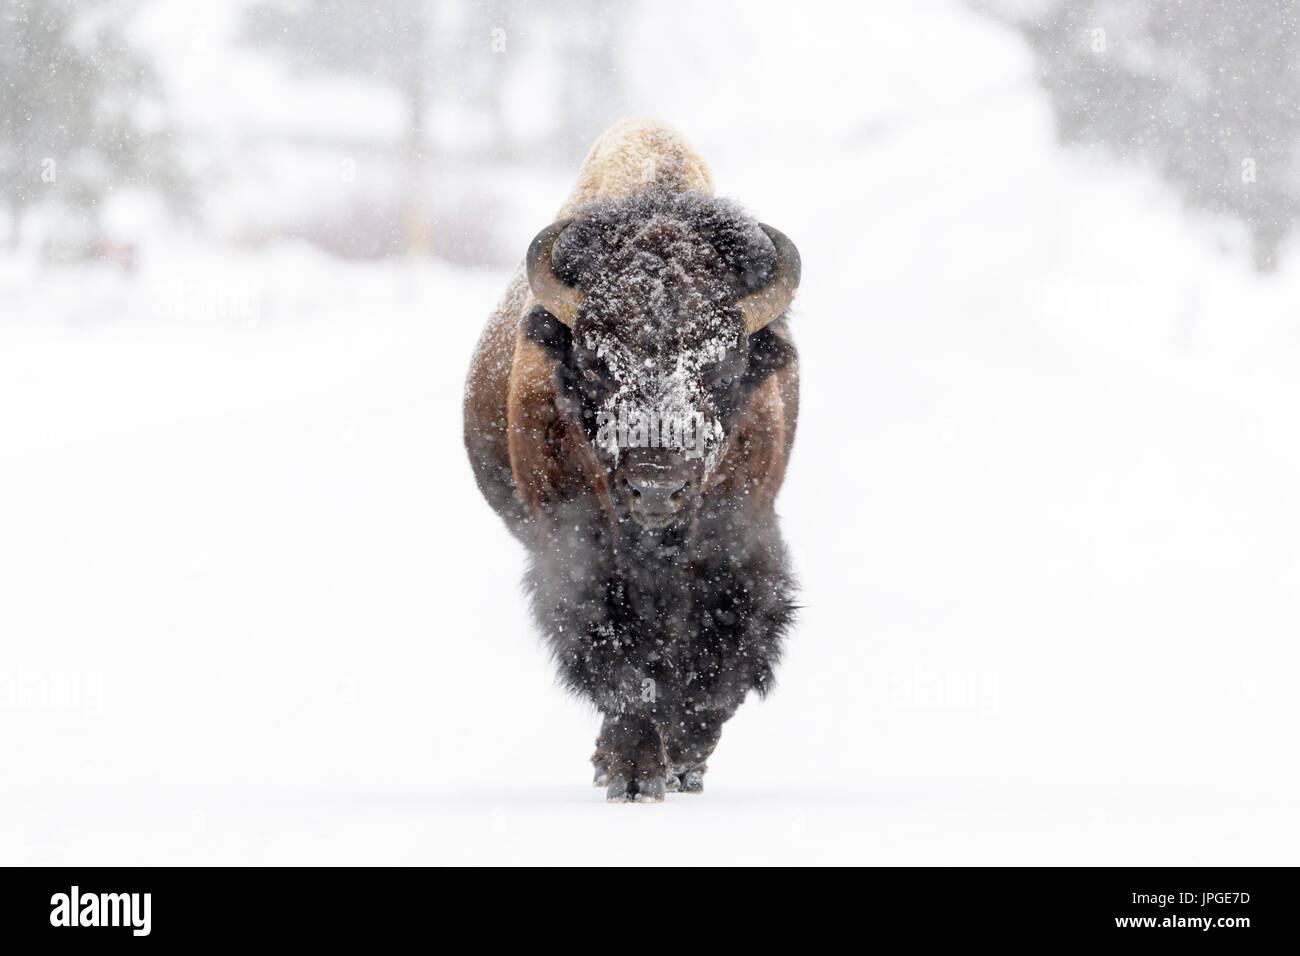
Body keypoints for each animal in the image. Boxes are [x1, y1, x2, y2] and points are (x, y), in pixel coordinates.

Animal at [463, 119, 801, 801]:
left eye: (721, 366)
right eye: (595, 362)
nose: (656, 488)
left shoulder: (741, 537)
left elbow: (719, 658)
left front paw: (682, 760)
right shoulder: (575, 549)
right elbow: (621, 660)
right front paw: (633, 773)